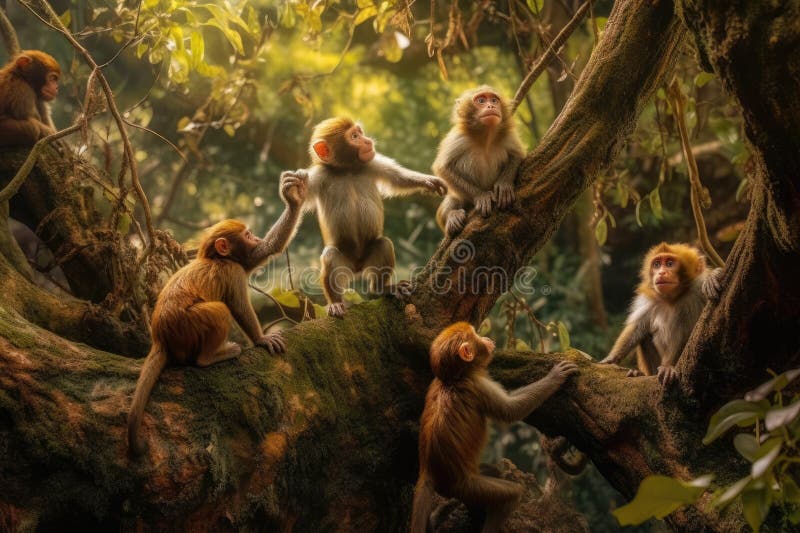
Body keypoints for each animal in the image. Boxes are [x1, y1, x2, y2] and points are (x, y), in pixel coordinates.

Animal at [127, 173, 306, 456]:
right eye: (247, 234)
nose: (255, 237)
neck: (217, 259)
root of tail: (159, 337)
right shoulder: (232, 271)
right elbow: (239, 307)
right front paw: (261, 339)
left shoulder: (239, 262)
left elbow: (264, 252)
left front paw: (294, 197)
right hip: (186, 327)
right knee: (219, 312)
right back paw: (210, 358)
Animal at [283, 116, 448, 317]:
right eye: (354, 136)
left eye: (360, 133)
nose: (368, 141)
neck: (347, 169)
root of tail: (357, 267)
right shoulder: (320, 176)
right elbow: (298, 201)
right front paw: (292, 197)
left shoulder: (371, 163)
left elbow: (398, 179)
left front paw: (428, 181)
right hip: (343, 261)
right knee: (330, 255)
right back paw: (336, 302)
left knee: (383, 244)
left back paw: (382, 288)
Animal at [411, 322, 579, 532]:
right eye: (476, 336)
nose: (487, 339)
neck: (454, 378)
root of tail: (429, 470)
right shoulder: (478, 386)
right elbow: (510, 411)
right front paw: (555, 377)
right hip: (468, 487)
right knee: (510, 494)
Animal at [433, 86, 526, 237]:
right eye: (481, 100)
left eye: (494, 100)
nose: (491, 106)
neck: (486, 138)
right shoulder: (459, 138)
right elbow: (443, 168)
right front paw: (481, 195)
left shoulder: (507, 136)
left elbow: (517, 156)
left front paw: (504, 184)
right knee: (454, 197)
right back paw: (452, 216)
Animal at [599, 242, 724, 386]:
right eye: (657, 264)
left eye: (670, 263)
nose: (661, 272)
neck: (672, 299)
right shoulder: (649, 300)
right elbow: (637, 327)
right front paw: (611, 359)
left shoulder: (697, 289)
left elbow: (683, 332)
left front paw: (713, 277)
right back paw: (639, 373)